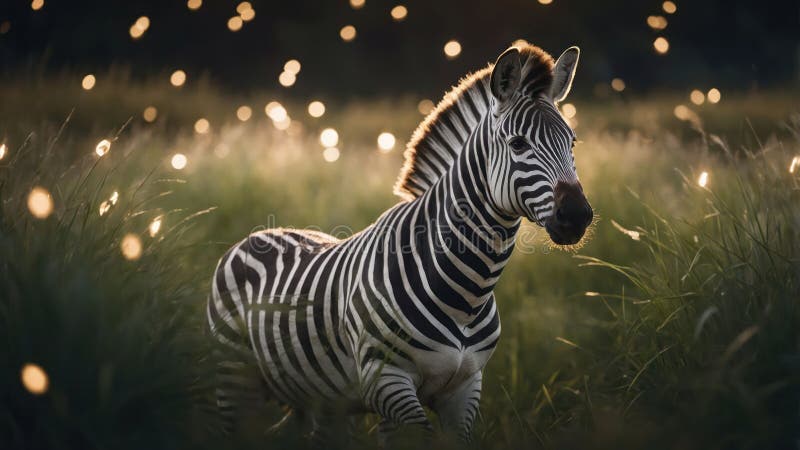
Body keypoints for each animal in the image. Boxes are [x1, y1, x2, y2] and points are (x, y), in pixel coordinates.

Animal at [208, 40, 593, 444]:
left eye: (572, 142)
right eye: (518, 144)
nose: (578, 215)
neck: (469, 293)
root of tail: (258, 235)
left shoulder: (465, 388)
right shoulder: (388, 382)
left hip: (317, 398)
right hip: (233, 377)